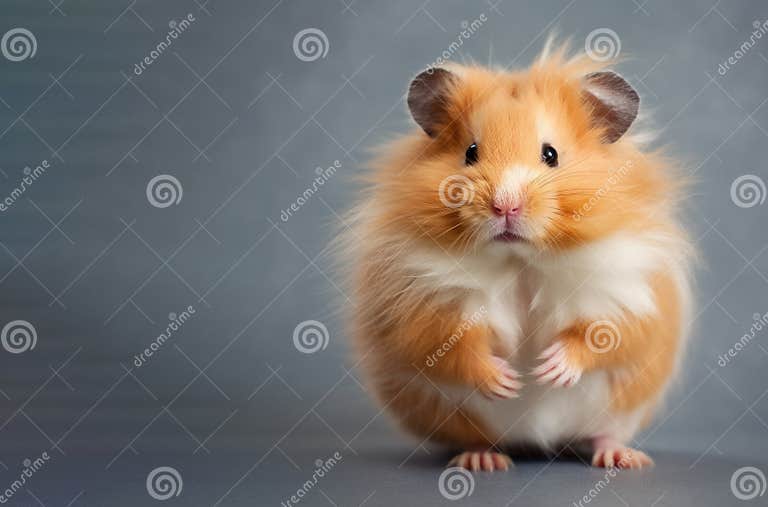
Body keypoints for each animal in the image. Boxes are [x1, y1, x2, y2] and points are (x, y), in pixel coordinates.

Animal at [342, 44, 693, 472]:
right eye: (470, 153)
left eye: (551, 154)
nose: (504, 205)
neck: (519, 259)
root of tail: (533, 442)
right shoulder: (422, 304)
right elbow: (457, 346)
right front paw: (507, 382)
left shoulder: (625, 293)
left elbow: (599, 336)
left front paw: (548, 370)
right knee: (478, 437)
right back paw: (483, 460)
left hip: (619, 411)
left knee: (602, 434)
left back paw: (622, 458)